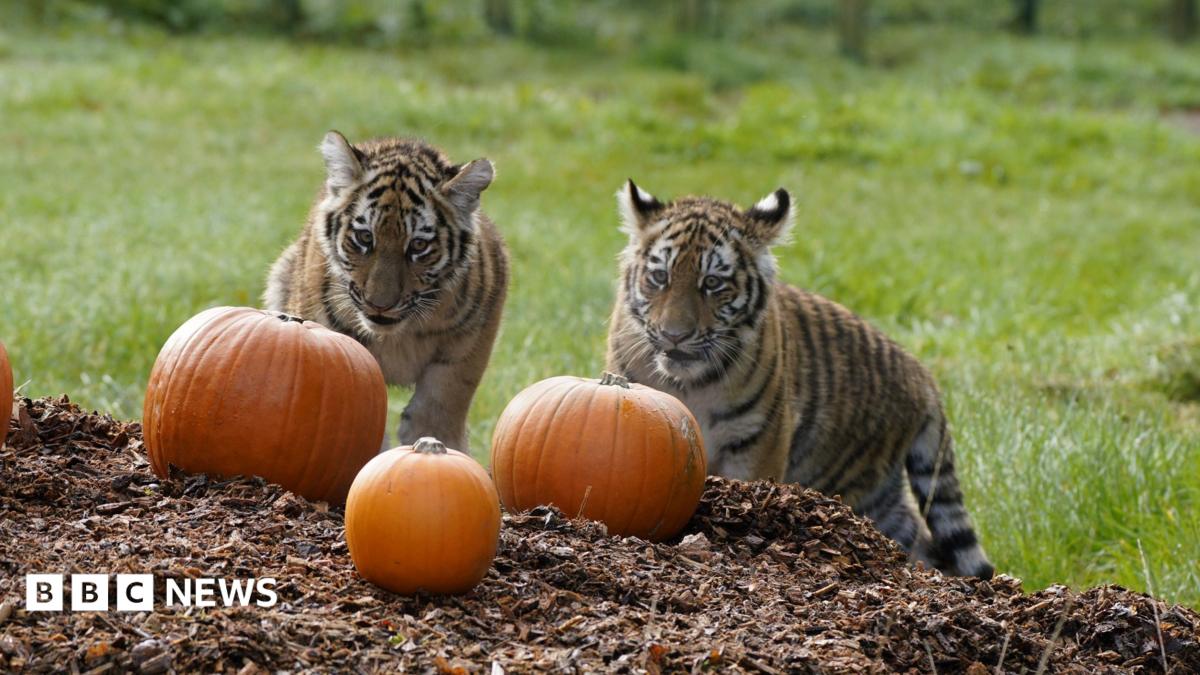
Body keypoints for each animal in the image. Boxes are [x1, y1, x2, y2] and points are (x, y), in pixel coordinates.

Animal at [264, 131, 508, 452]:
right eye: (365, 237)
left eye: (418, 245)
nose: (379, 305)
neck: (396, 336)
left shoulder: (470, 342)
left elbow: (441, 408)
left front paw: (434, 444)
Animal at [605, 180, 993, 579]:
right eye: (659, 277)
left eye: (712, 283)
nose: (674, 336)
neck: (687, 383)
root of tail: (922, 375)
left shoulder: (759, 443)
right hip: (879, 496)